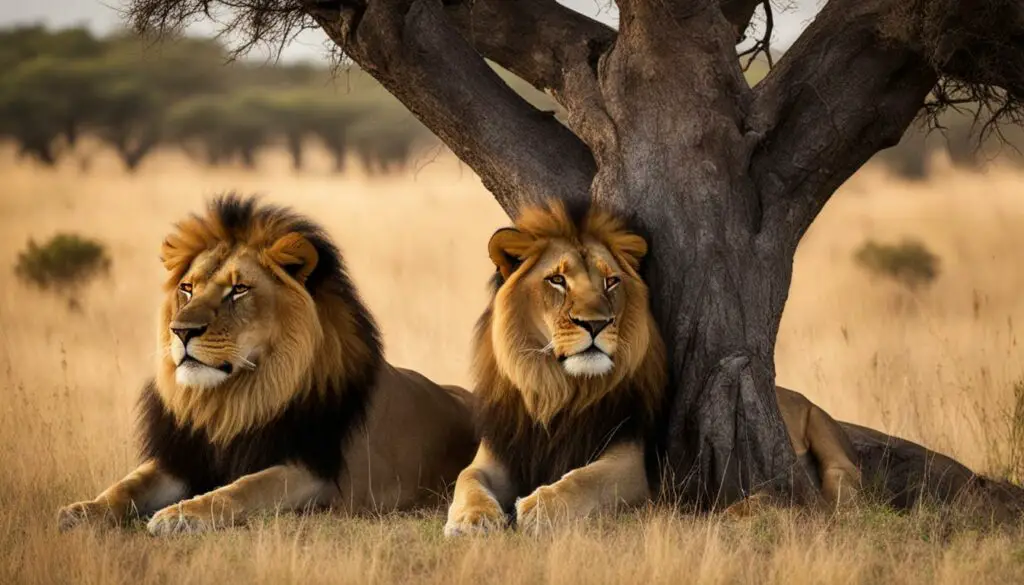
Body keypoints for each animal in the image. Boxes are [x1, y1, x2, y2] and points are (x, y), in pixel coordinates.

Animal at [57, 194, 477, 536]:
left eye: (238, 289)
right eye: (187, 288)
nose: (180, 331)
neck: (233, 402)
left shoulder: (319, 475)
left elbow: (244, 487)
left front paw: (181, 514)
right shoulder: (185, 456)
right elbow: (129, 483)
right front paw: (83, 510)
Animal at [444, 201, 862, 535]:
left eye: (611, 281)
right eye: (557, 280)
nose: (596, 324)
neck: (558, 391)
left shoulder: (631, 458)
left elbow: (585, 480)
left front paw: (538, 507)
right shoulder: (498, 451)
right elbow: (466, 478)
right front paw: (472, 519)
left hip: (820, 424)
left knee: (844, 477)